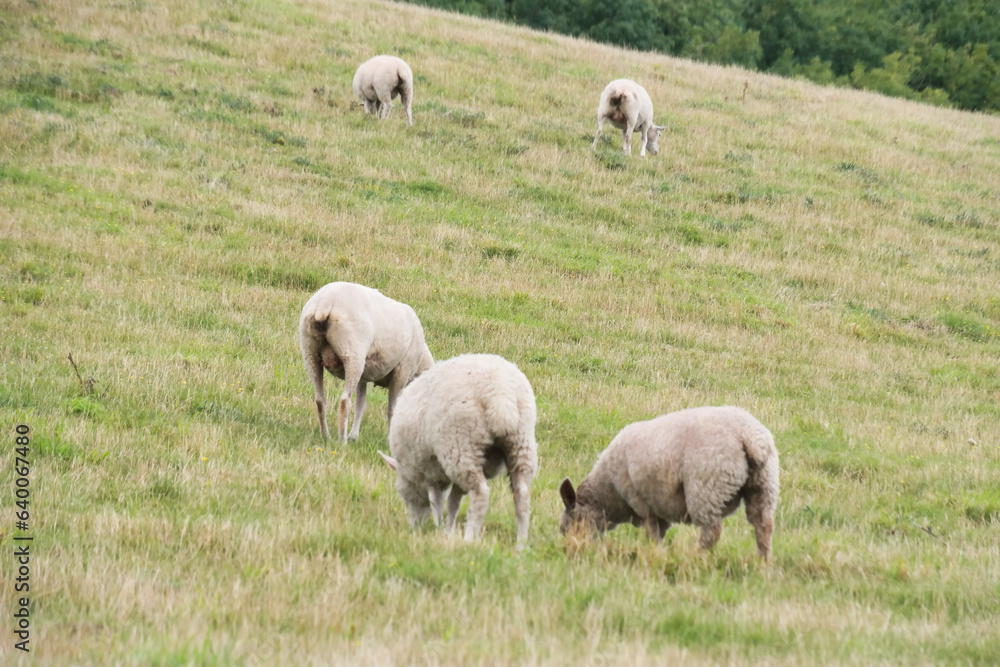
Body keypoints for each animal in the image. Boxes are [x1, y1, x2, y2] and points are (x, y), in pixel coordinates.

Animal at [299, 282, 433, 441]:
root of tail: (325, 303)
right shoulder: (401, 372)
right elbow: (391, 410)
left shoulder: (363, 377)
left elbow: (361, 405)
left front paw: (354, 436)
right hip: (353, 354)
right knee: (344, 401)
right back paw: (341, 440)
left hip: (310, 352)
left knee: (320, 400)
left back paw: (326, 436)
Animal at [378, 354, 539, 550]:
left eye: (402, 494)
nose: (413, 527)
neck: (408, 470)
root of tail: (500, 398)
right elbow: (453, 502)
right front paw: (448, 530)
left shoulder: (428, 472)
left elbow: (437, 501)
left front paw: (439, 527)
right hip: (520, 443)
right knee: (522, 495)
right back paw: (520, 545)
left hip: (461, 447)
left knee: (480, 494)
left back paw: (470, 538)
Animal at [559, 406, 779, 558]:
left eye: (571, 525)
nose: (571, 548)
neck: (609, 492)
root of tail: (748, 437)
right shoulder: (659, 509)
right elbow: (660, 534)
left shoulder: (642, 504)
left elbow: (652, 535)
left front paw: (654, 554)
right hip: (763, 485)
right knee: (763, 525)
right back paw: (763, 562)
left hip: (706, 489)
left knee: (712, 532)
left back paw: (693, 556)